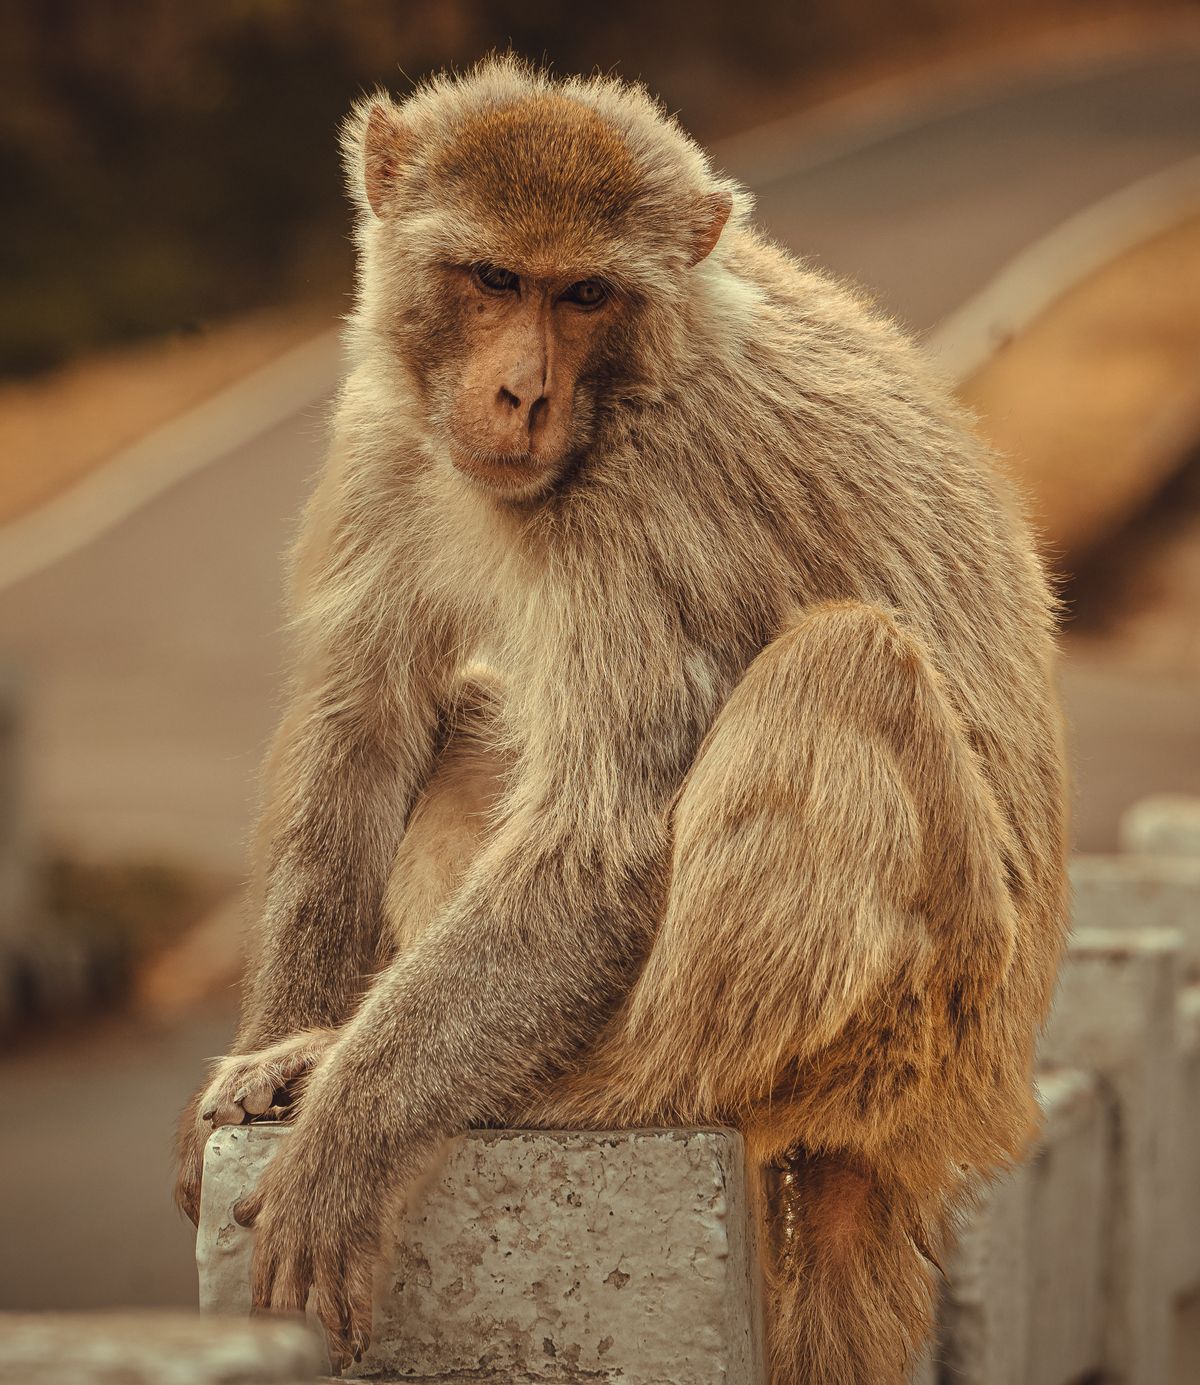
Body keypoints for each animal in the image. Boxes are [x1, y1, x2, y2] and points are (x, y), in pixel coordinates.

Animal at [175, 56, 1068, 1384]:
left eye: (585, 294)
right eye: (495, 280)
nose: (521, 391)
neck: (630, 387)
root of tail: (975, 1105)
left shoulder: (653, 503)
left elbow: (597, 844)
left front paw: (352, 1131)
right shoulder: (392, 432)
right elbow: (360, 728)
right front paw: (280, 1041)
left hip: (927, 1021)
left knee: (843, 665)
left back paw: (585, 1085)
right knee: (475, 719)